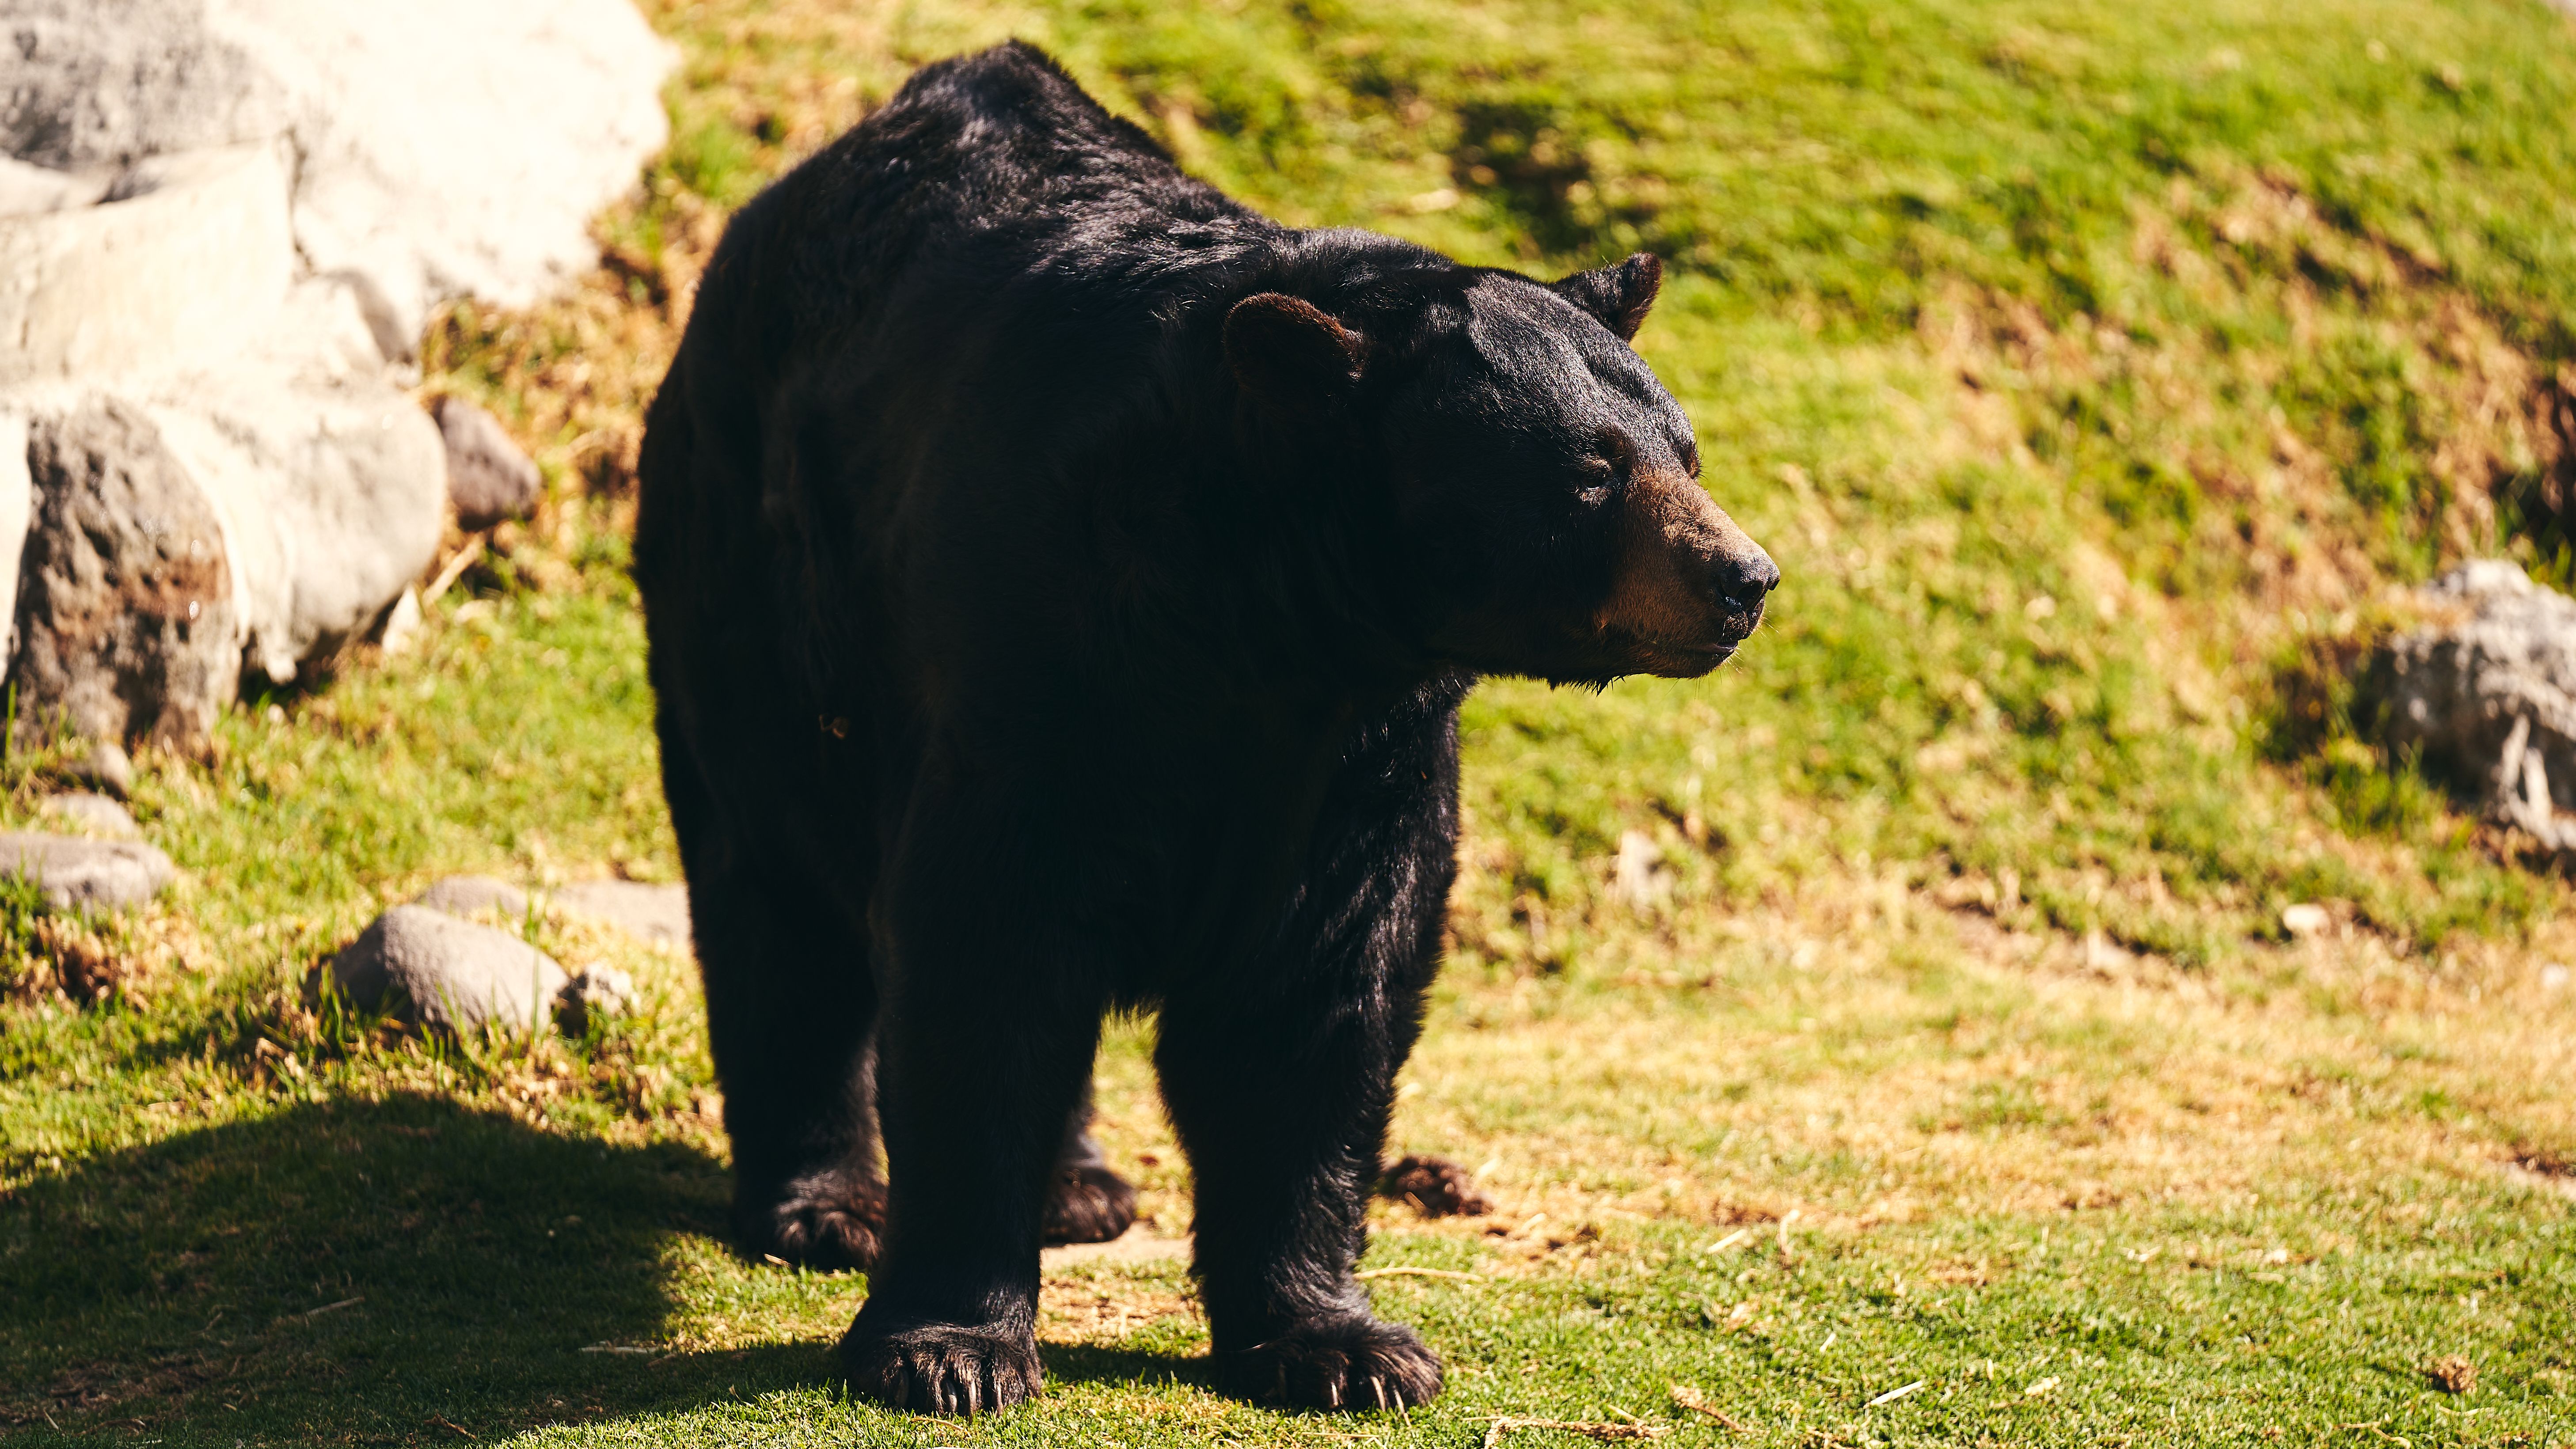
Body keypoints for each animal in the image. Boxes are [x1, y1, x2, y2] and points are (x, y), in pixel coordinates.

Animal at [632, 41, 1776, 1416]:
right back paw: (827, 1202)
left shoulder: (1358, 758)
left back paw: (1078, 1185)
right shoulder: (1041, 658)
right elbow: (982, 951)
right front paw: (948, 1345)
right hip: (754, 582)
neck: (1259, 622)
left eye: (1684, 451)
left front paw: (1341, 1343)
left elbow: (1318, 998)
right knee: (775, 885)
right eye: (1590, 472)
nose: (1743, 578)